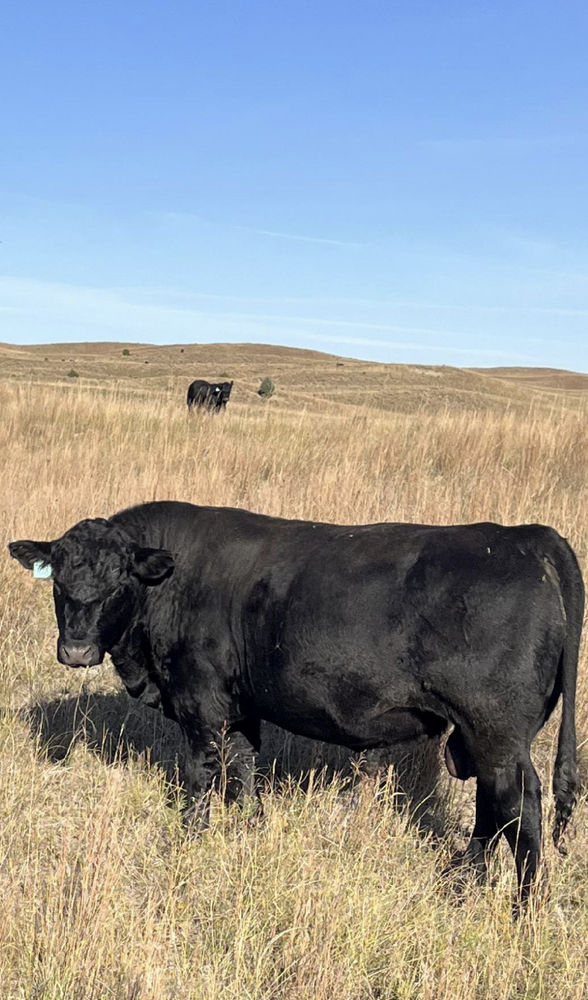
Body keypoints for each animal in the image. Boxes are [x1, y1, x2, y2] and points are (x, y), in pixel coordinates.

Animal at [9, 502, 583, 907]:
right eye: (58, 583)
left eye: (118, 582)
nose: (75, 650)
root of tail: (528, 536)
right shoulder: (238, 708)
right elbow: (243, 770)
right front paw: (249, 831)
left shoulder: (200, 704)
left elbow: (198, 779)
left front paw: (190, 842)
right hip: (480, 736)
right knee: (493, 807)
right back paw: (463, 880)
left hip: (495, 731)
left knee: (520, 807)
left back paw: (524, 906)